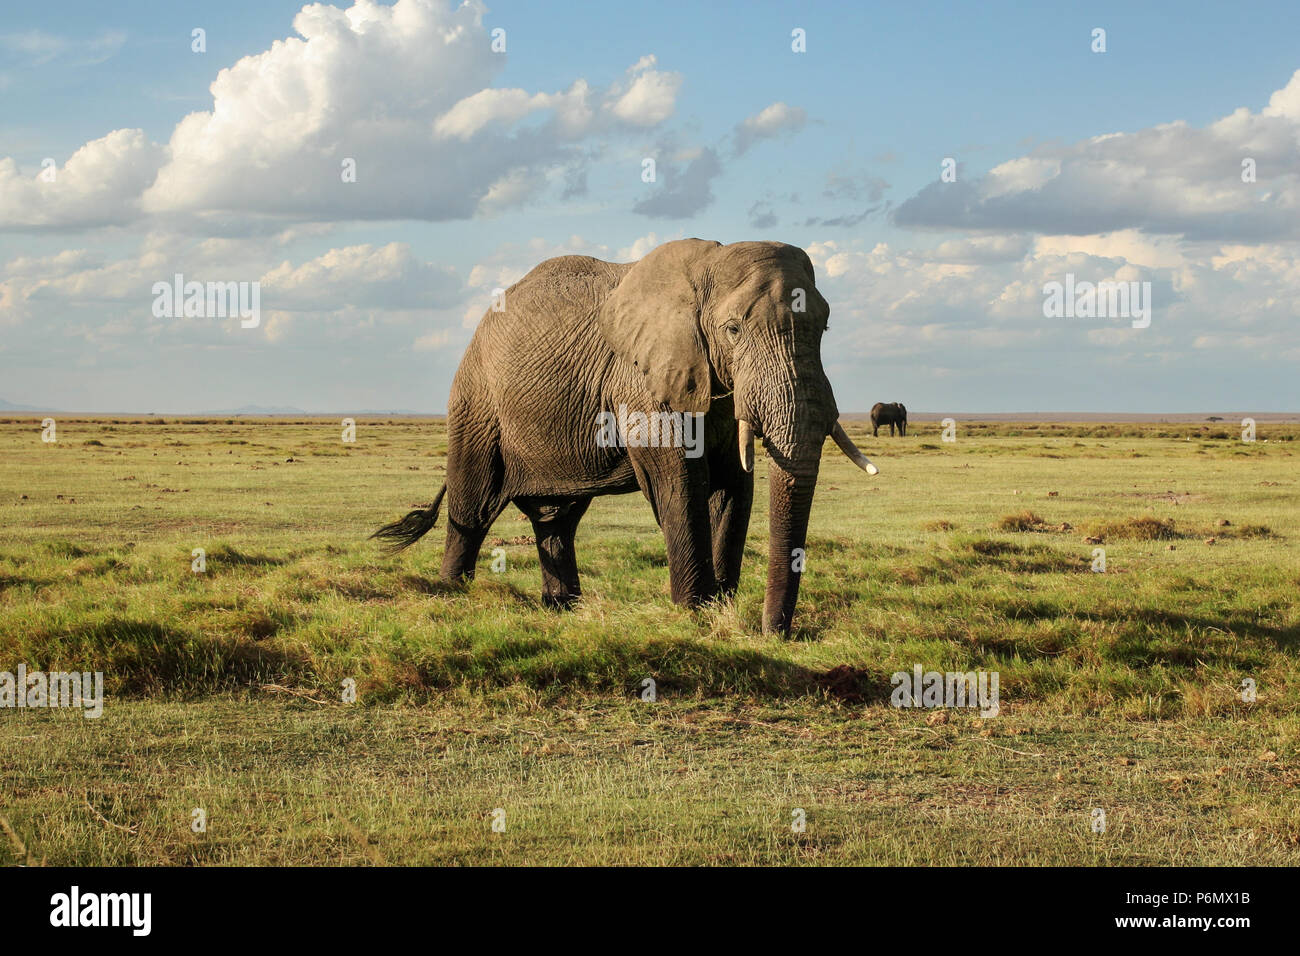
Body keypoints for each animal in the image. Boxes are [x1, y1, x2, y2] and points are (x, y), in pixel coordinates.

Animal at [372, 238, 878, 635]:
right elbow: (680, 484)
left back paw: (562, 608)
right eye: (733, 329)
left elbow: (734, 488)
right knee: (473, 507)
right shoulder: (641, 381)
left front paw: (721, 609)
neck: (706, 267)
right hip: (476, 405)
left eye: (824, 326)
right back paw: (452, 594)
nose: (775, 632)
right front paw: (695, 613)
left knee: (557, 518)